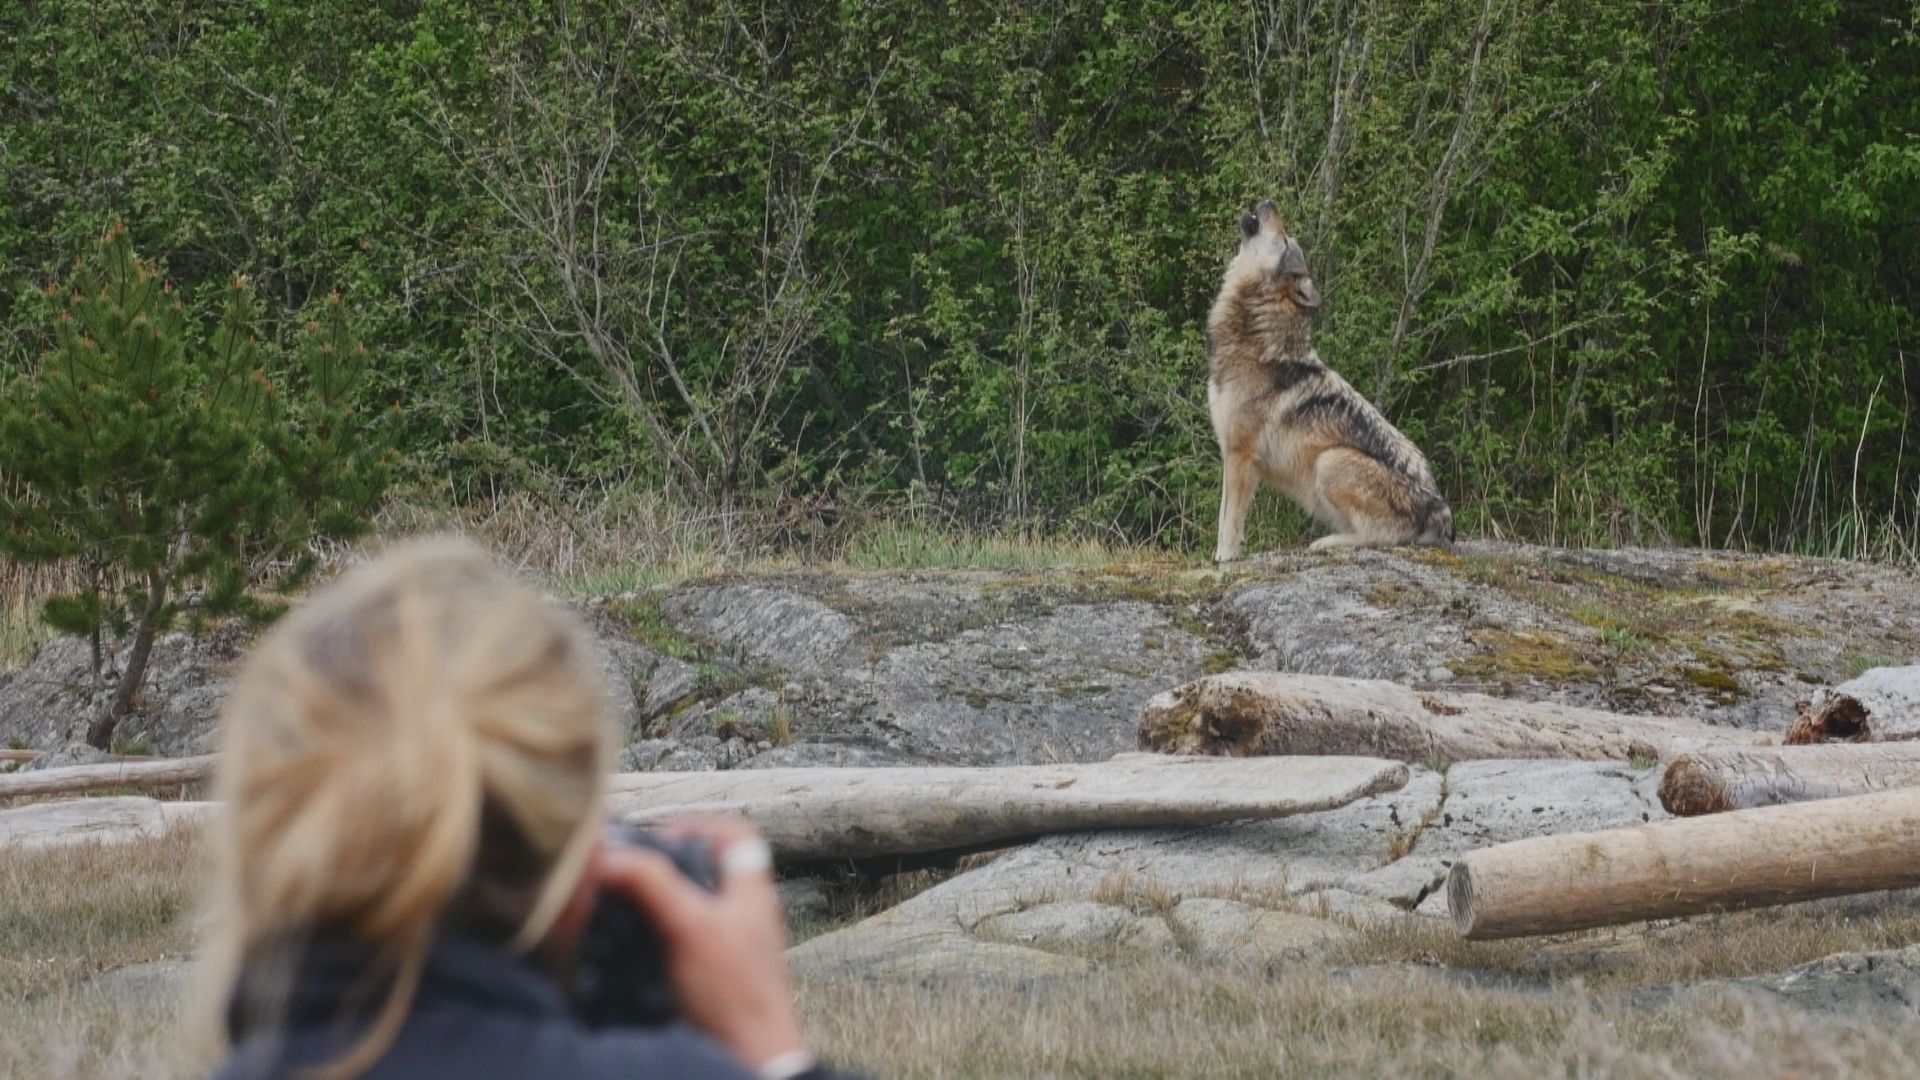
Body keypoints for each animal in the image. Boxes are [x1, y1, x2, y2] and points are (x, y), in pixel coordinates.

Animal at [1207, 200, 1453, 560]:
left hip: (1329, 461)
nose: (1270, 203)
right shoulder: (1230, 452)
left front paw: (1225, 558)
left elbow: (1230, 520)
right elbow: (1223, 514)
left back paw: (1326, 542)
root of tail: (1440, 509)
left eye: (1284, 240)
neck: (1257, 337)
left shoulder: (1241, 455)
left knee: (1382, 536)